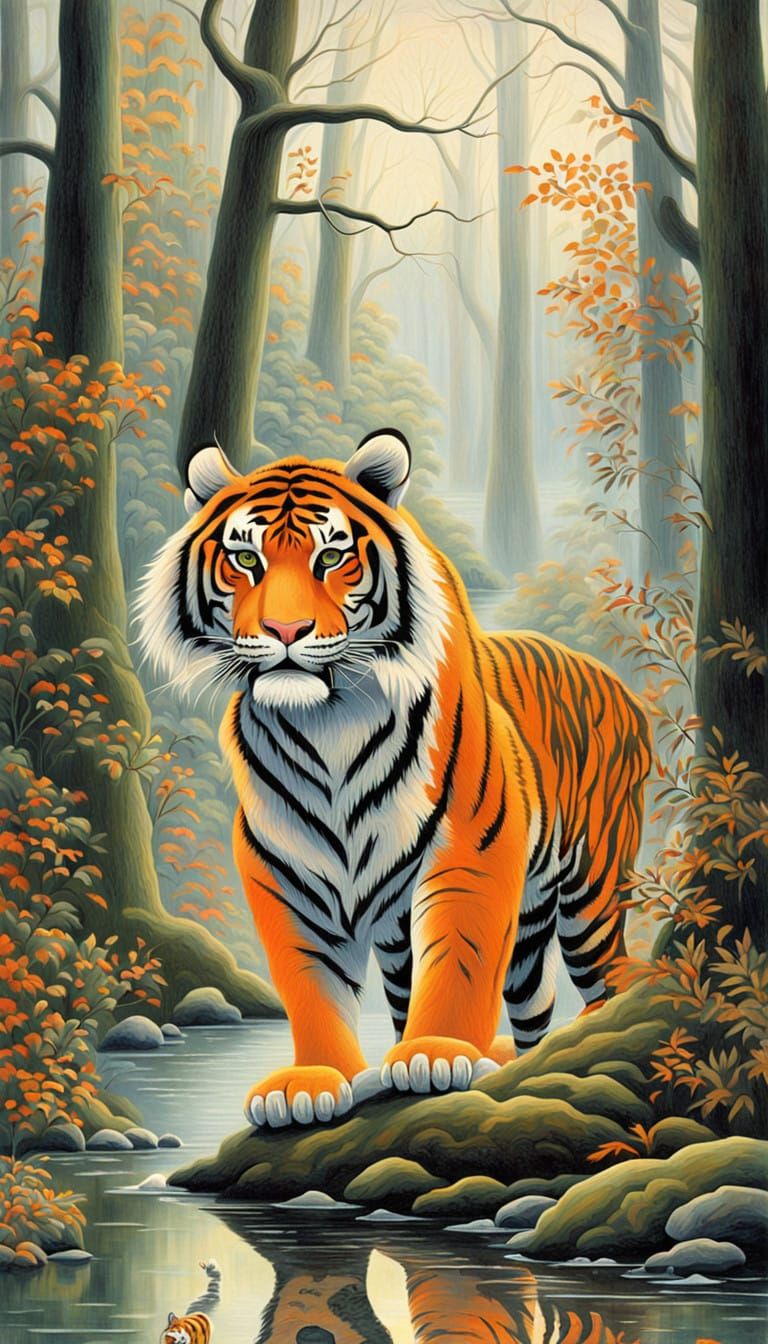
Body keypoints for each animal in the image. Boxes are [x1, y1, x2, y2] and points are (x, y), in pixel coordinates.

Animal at [139, 428, 652, 1130]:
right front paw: (311, 1082)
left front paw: (437, 1055)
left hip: (591, 892)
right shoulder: (283, 871)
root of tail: (618, 686)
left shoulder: (473, 850)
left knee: (606, 976)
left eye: (332, 556)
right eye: (245, 558)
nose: (285, 630)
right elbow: (310, 983)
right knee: (521, 1000)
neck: (328, 721)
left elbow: (461, 959)